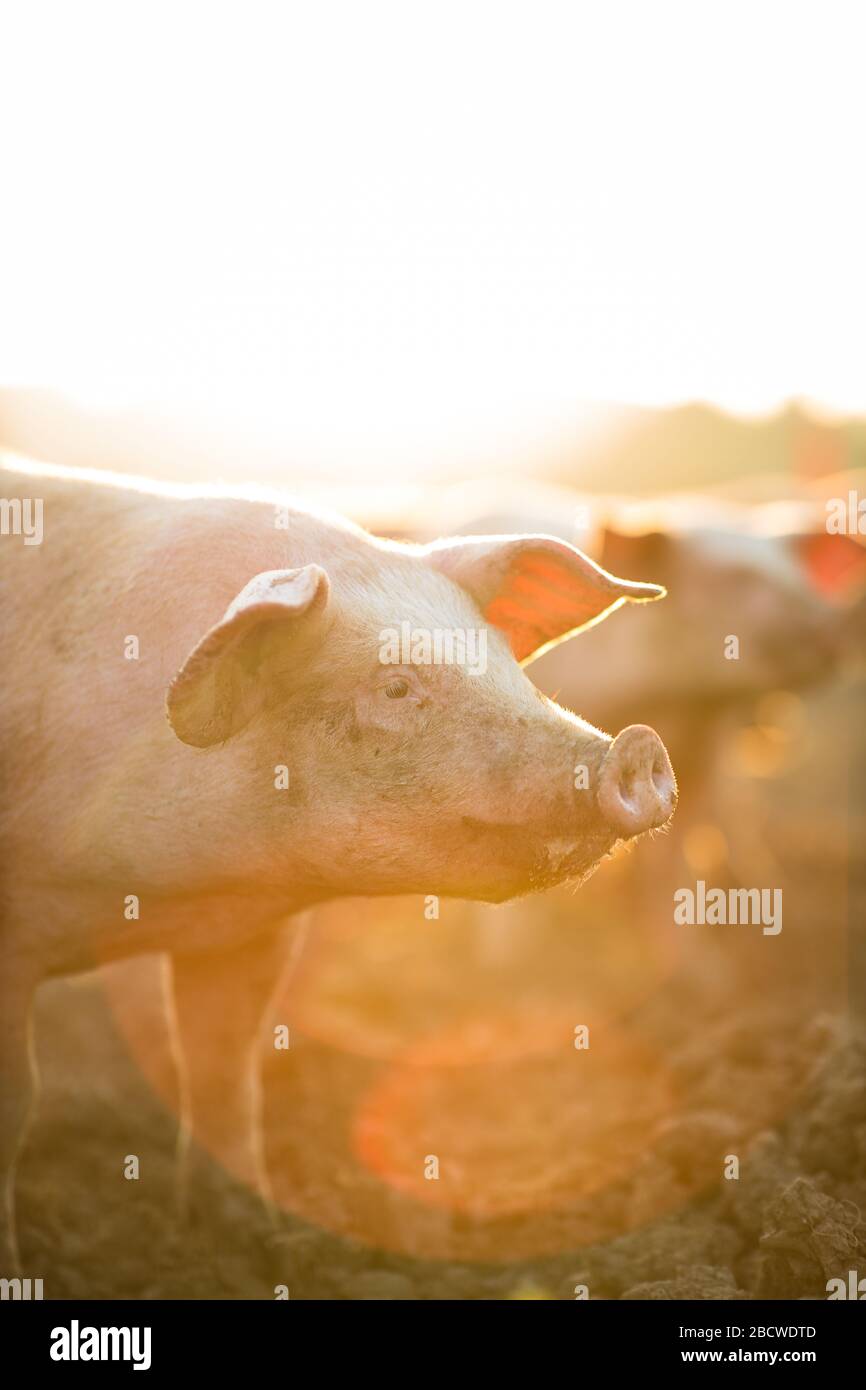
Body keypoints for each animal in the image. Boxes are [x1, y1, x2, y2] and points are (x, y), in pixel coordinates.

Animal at [0, 458, 676, 1270]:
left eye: (512, 669)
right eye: (396, 687)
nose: (635, 747)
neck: (168, 888)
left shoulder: (246, 933)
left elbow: (225, 1076)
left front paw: (251, 1241)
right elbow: (20, 1102)